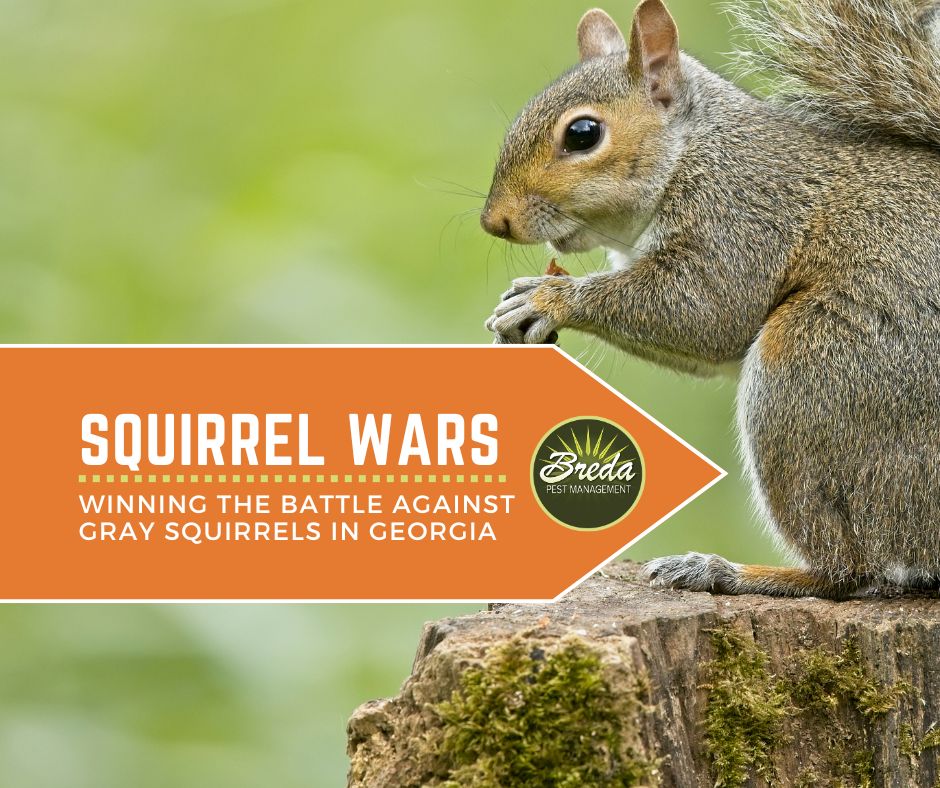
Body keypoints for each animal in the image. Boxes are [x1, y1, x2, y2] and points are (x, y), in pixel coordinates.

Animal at [480, 0, 940, 598]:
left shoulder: (742, 216)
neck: (693, 151)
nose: (495, 222)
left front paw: (551, 298)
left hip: (817, 375)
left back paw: (731, 572)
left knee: (851, 569)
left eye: (583, 134)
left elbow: (707, 311)